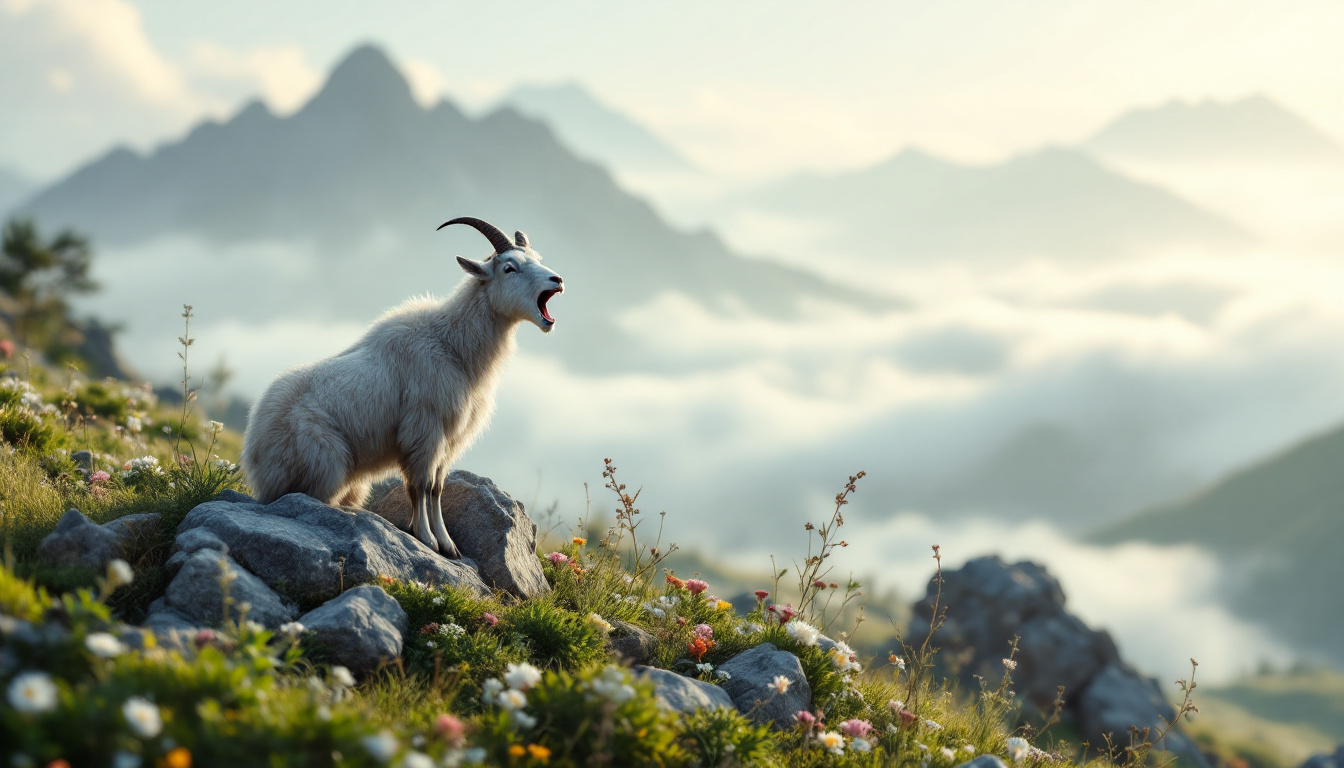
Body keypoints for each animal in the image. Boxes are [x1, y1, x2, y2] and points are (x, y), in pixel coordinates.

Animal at [240, 217, 564, 558]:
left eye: (537, 258)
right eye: (509, 268)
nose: (557, 280)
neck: (452, 344)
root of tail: (256, 458)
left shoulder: (448, 438)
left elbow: (437, 487)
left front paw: (448, 544)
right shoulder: (424, 430)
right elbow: (420, 486)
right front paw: (427, 538)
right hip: (326, 466)